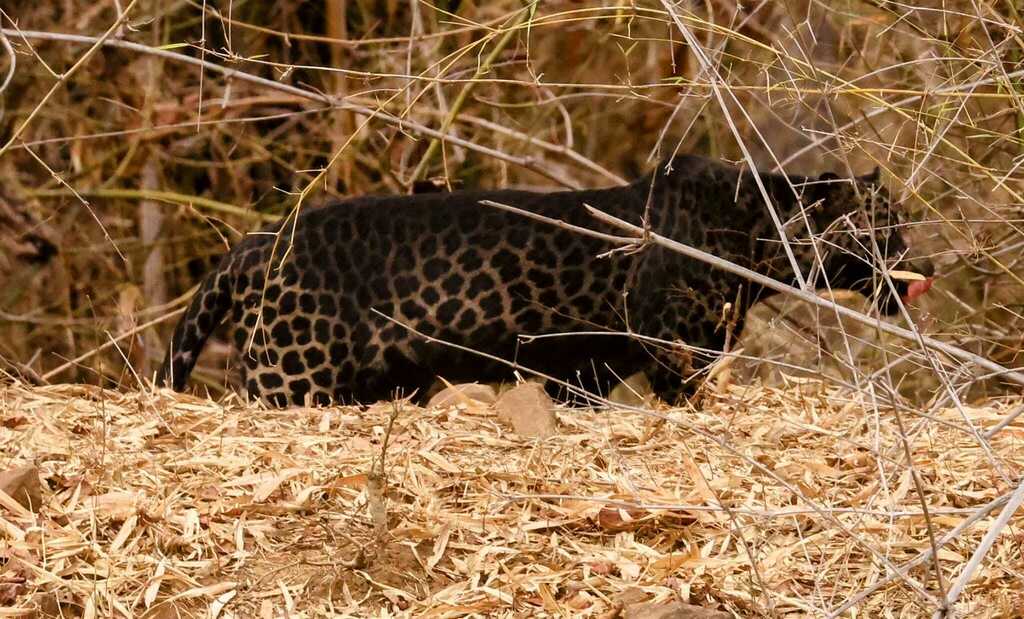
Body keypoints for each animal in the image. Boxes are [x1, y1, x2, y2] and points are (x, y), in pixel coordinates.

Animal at [155, 154, 935, 407]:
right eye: (882, 226)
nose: (921, 263)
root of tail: (258, 241)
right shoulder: (677, 353)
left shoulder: (584, 368)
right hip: (293, 374)